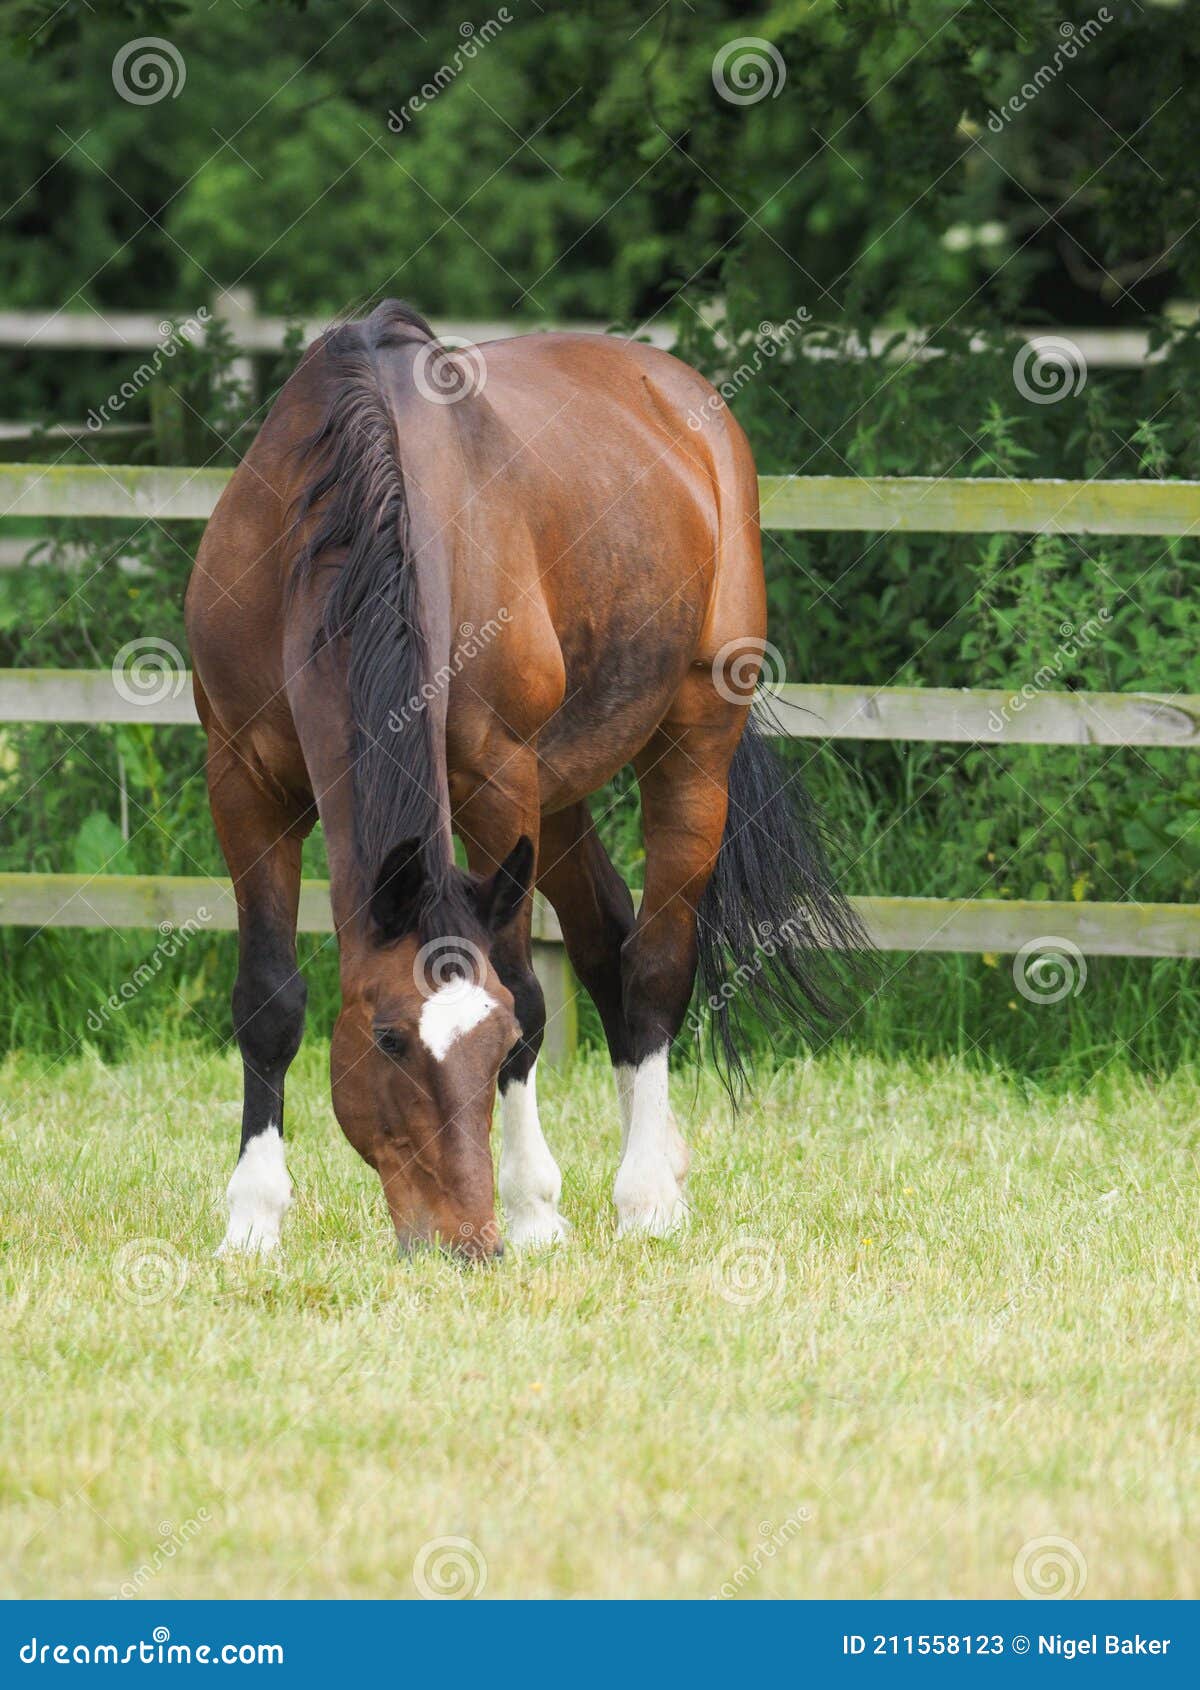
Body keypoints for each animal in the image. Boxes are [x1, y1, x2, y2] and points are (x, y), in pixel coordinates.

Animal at [185, 300, 861, 1262]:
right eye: (389, 1040)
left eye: (493, 1041)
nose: (464, 1239)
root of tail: (686, 400)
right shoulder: (243, 779)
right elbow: (269, 1000)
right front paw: (252, 1218)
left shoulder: (497, 778)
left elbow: (533, 995)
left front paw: (536, 1207)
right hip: (561, 792)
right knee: (609, 944)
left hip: (689, 741)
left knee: (656, 962)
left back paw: (645, 1194)